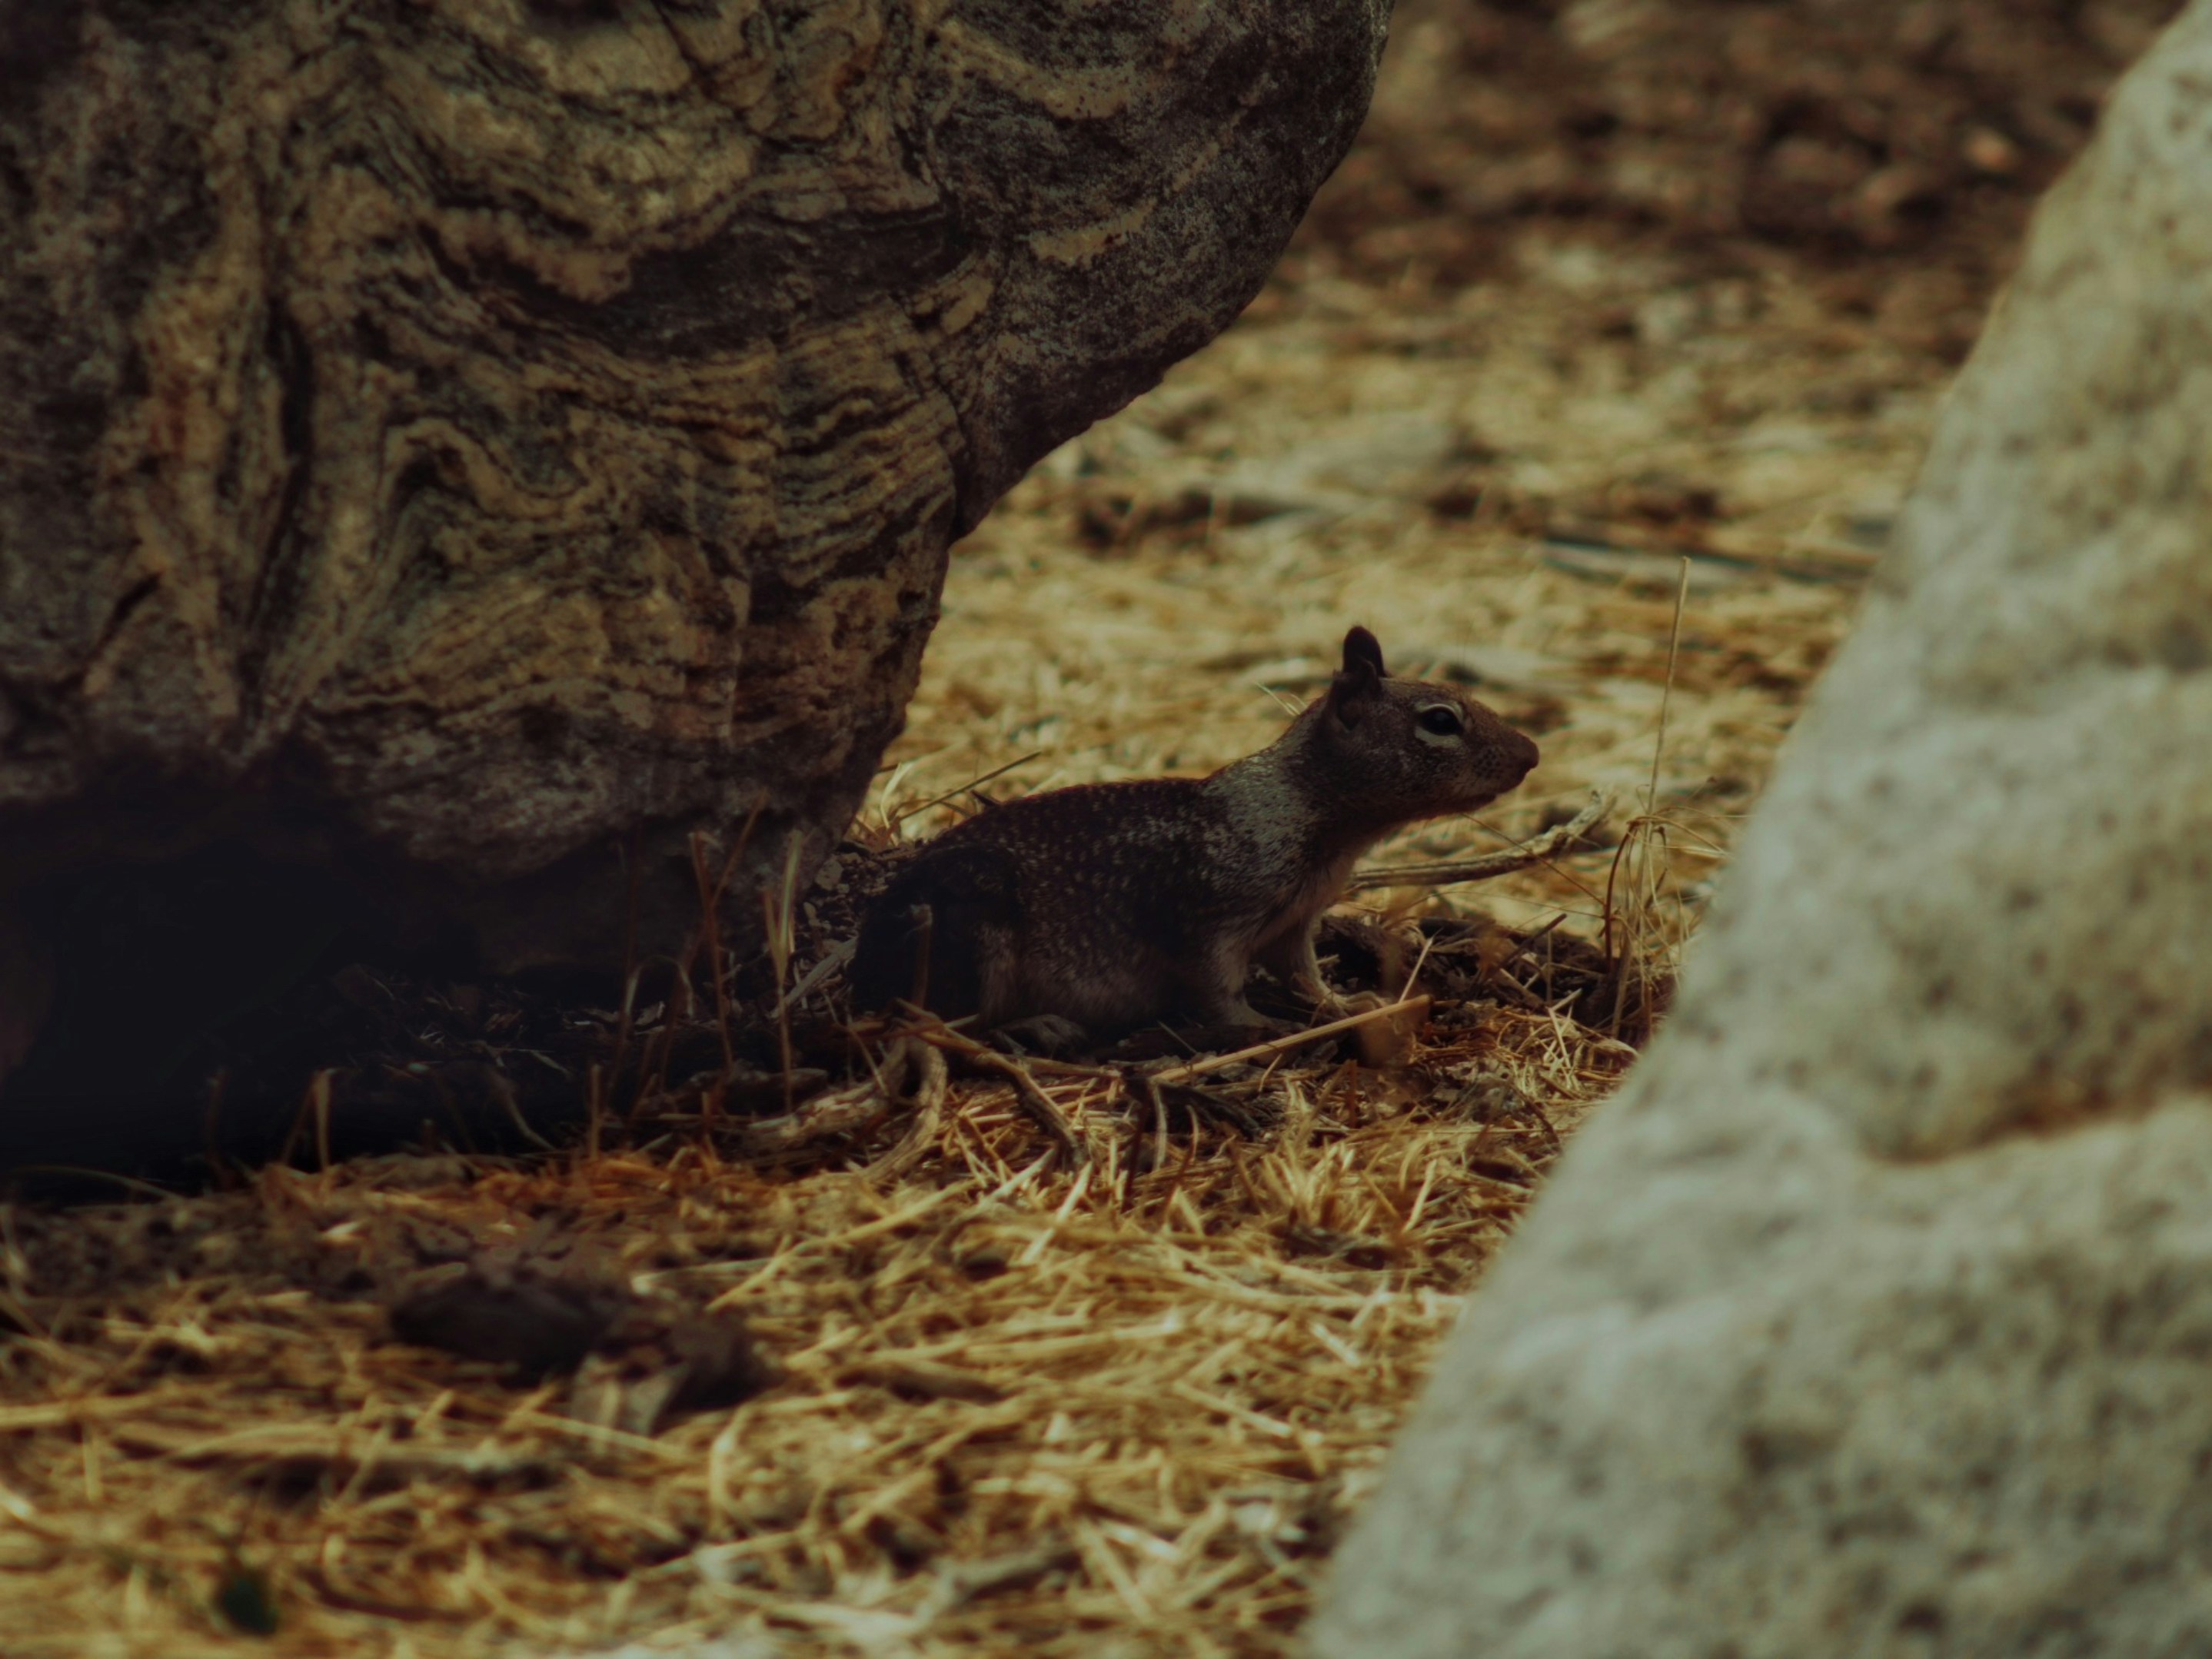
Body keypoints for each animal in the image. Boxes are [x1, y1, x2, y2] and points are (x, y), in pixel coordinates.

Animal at [850, 626, 1540, 1042]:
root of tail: (862, 959)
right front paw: (1259, 1024)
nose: (1532, 755)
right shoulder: (1208, 919)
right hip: (970, 937)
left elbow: (1304, 975)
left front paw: (1343, 1006)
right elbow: (1215, 987)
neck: (1312, 812)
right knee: (942, 1020)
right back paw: (1037, 1025)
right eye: (1440, 721)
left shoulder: (1295, 923)